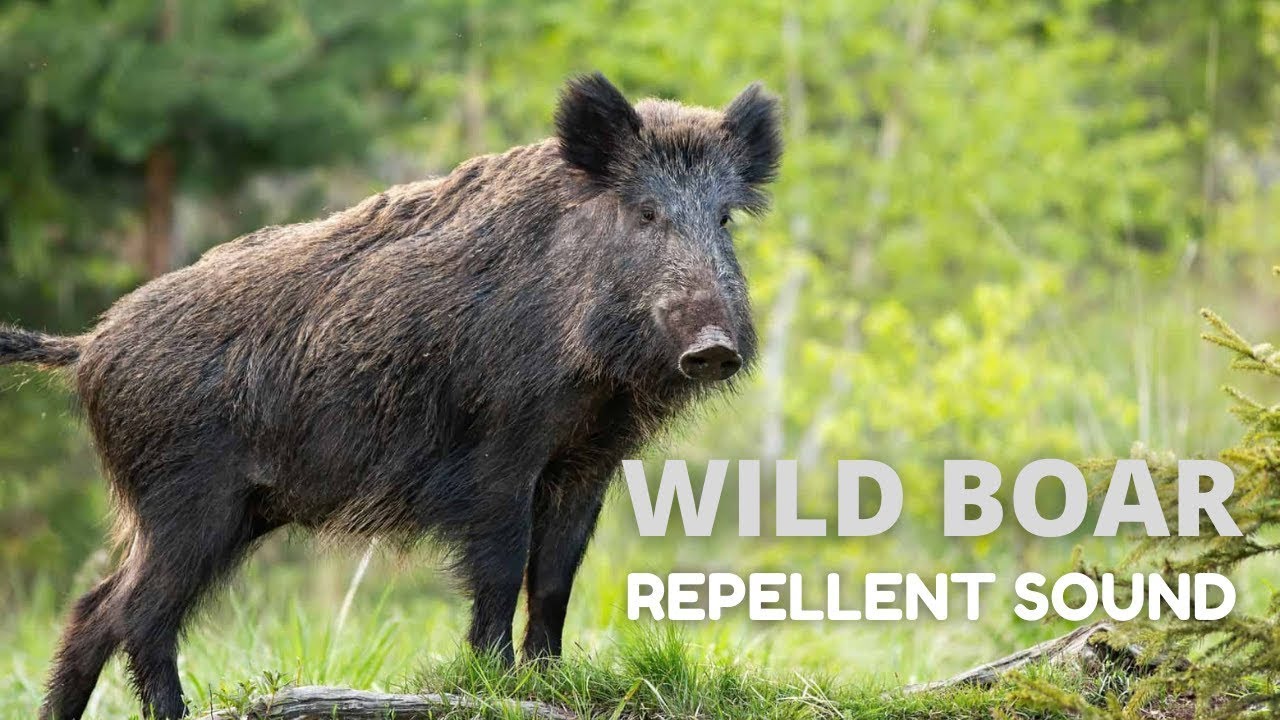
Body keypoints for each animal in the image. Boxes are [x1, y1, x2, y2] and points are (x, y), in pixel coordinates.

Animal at [0, 72, 781, 719]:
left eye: (723, 220)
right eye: (645, 213)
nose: (714, 345)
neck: (594, 381)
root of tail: (89, 347)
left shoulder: (587, 461)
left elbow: (556, 578)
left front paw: (549, 682)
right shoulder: (500, 451)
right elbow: (503, 568)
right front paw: (495, 685)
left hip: (219, 511)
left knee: (94, 610)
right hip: (188, 501)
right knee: (139, 614)